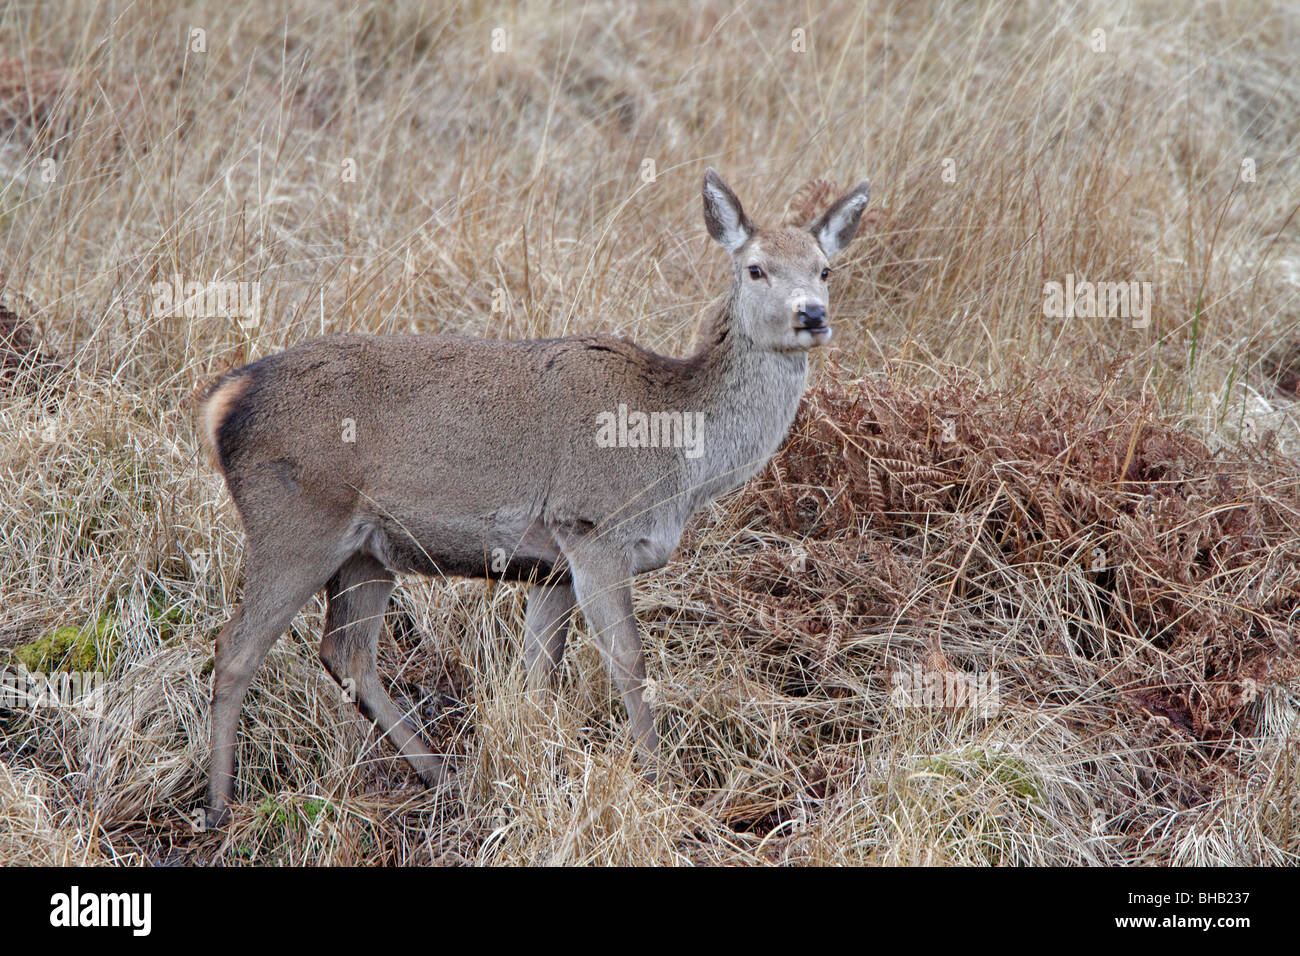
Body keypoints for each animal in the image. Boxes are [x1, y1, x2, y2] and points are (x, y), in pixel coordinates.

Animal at [195, 169, 870, 826]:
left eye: (825, 270)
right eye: (756, 268)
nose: (812, 315)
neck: (678, 463)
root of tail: (221, 403)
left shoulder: (551, 567)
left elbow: (538, 678)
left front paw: (541, 766)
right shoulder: (593, 527)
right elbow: (630, 663)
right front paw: (659, 783)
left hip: (370, 549)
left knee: (347, 654)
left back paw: (443, 774)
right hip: (296, 519)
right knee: (236, 646)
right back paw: (219, 806)